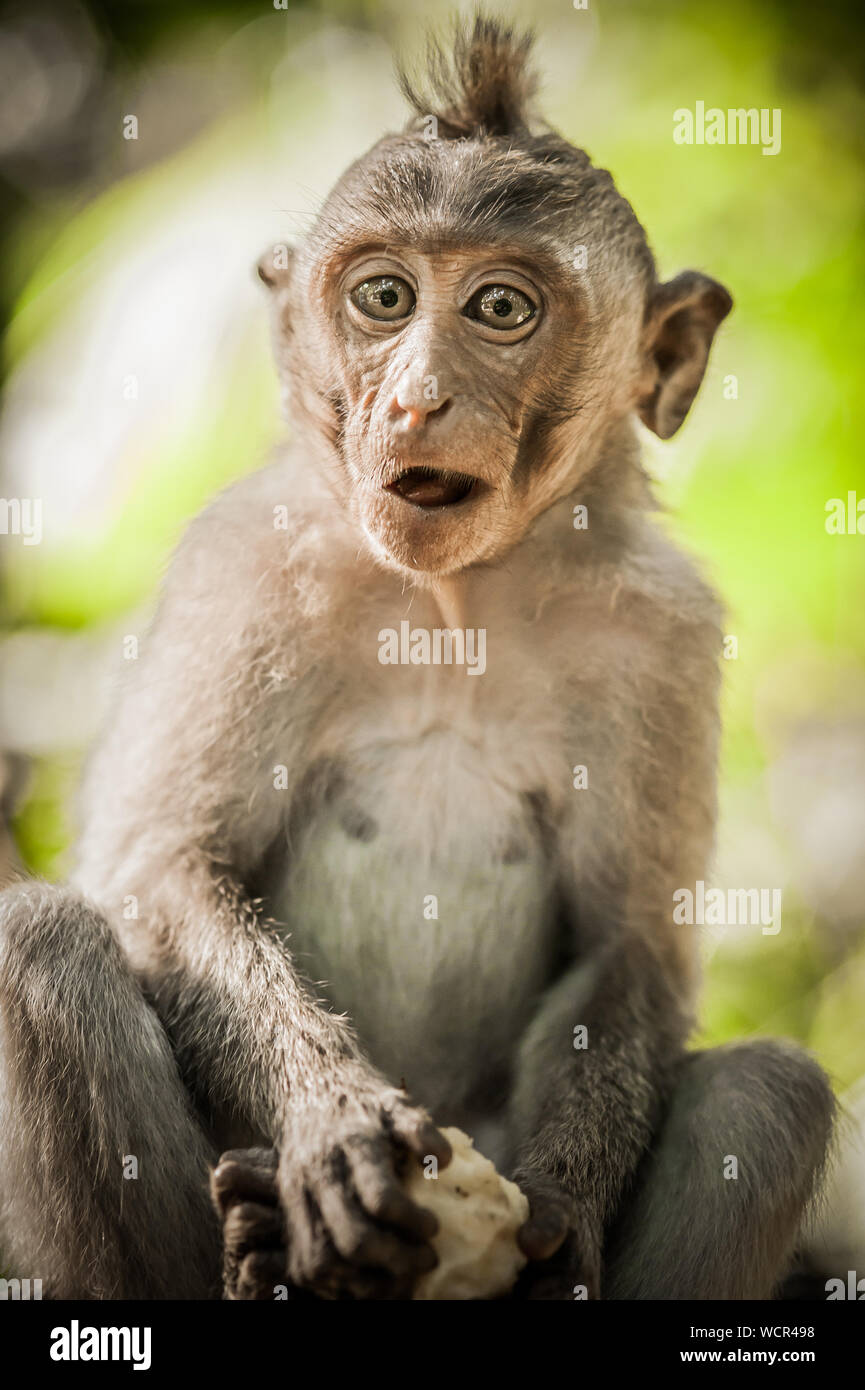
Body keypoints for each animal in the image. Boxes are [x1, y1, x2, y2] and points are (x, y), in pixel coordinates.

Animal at [0, 16, 834, 1301]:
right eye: (384, 297)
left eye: (498, 307)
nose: (417, 402)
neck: (451, 601)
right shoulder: (246, 568)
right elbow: (166, 866)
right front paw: (337, 1129)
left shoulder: (665, 634)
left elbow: (627, 945)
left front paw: (559, 1224)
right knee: (42, 951)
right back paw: (258, 1239)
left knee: (766, 1095)